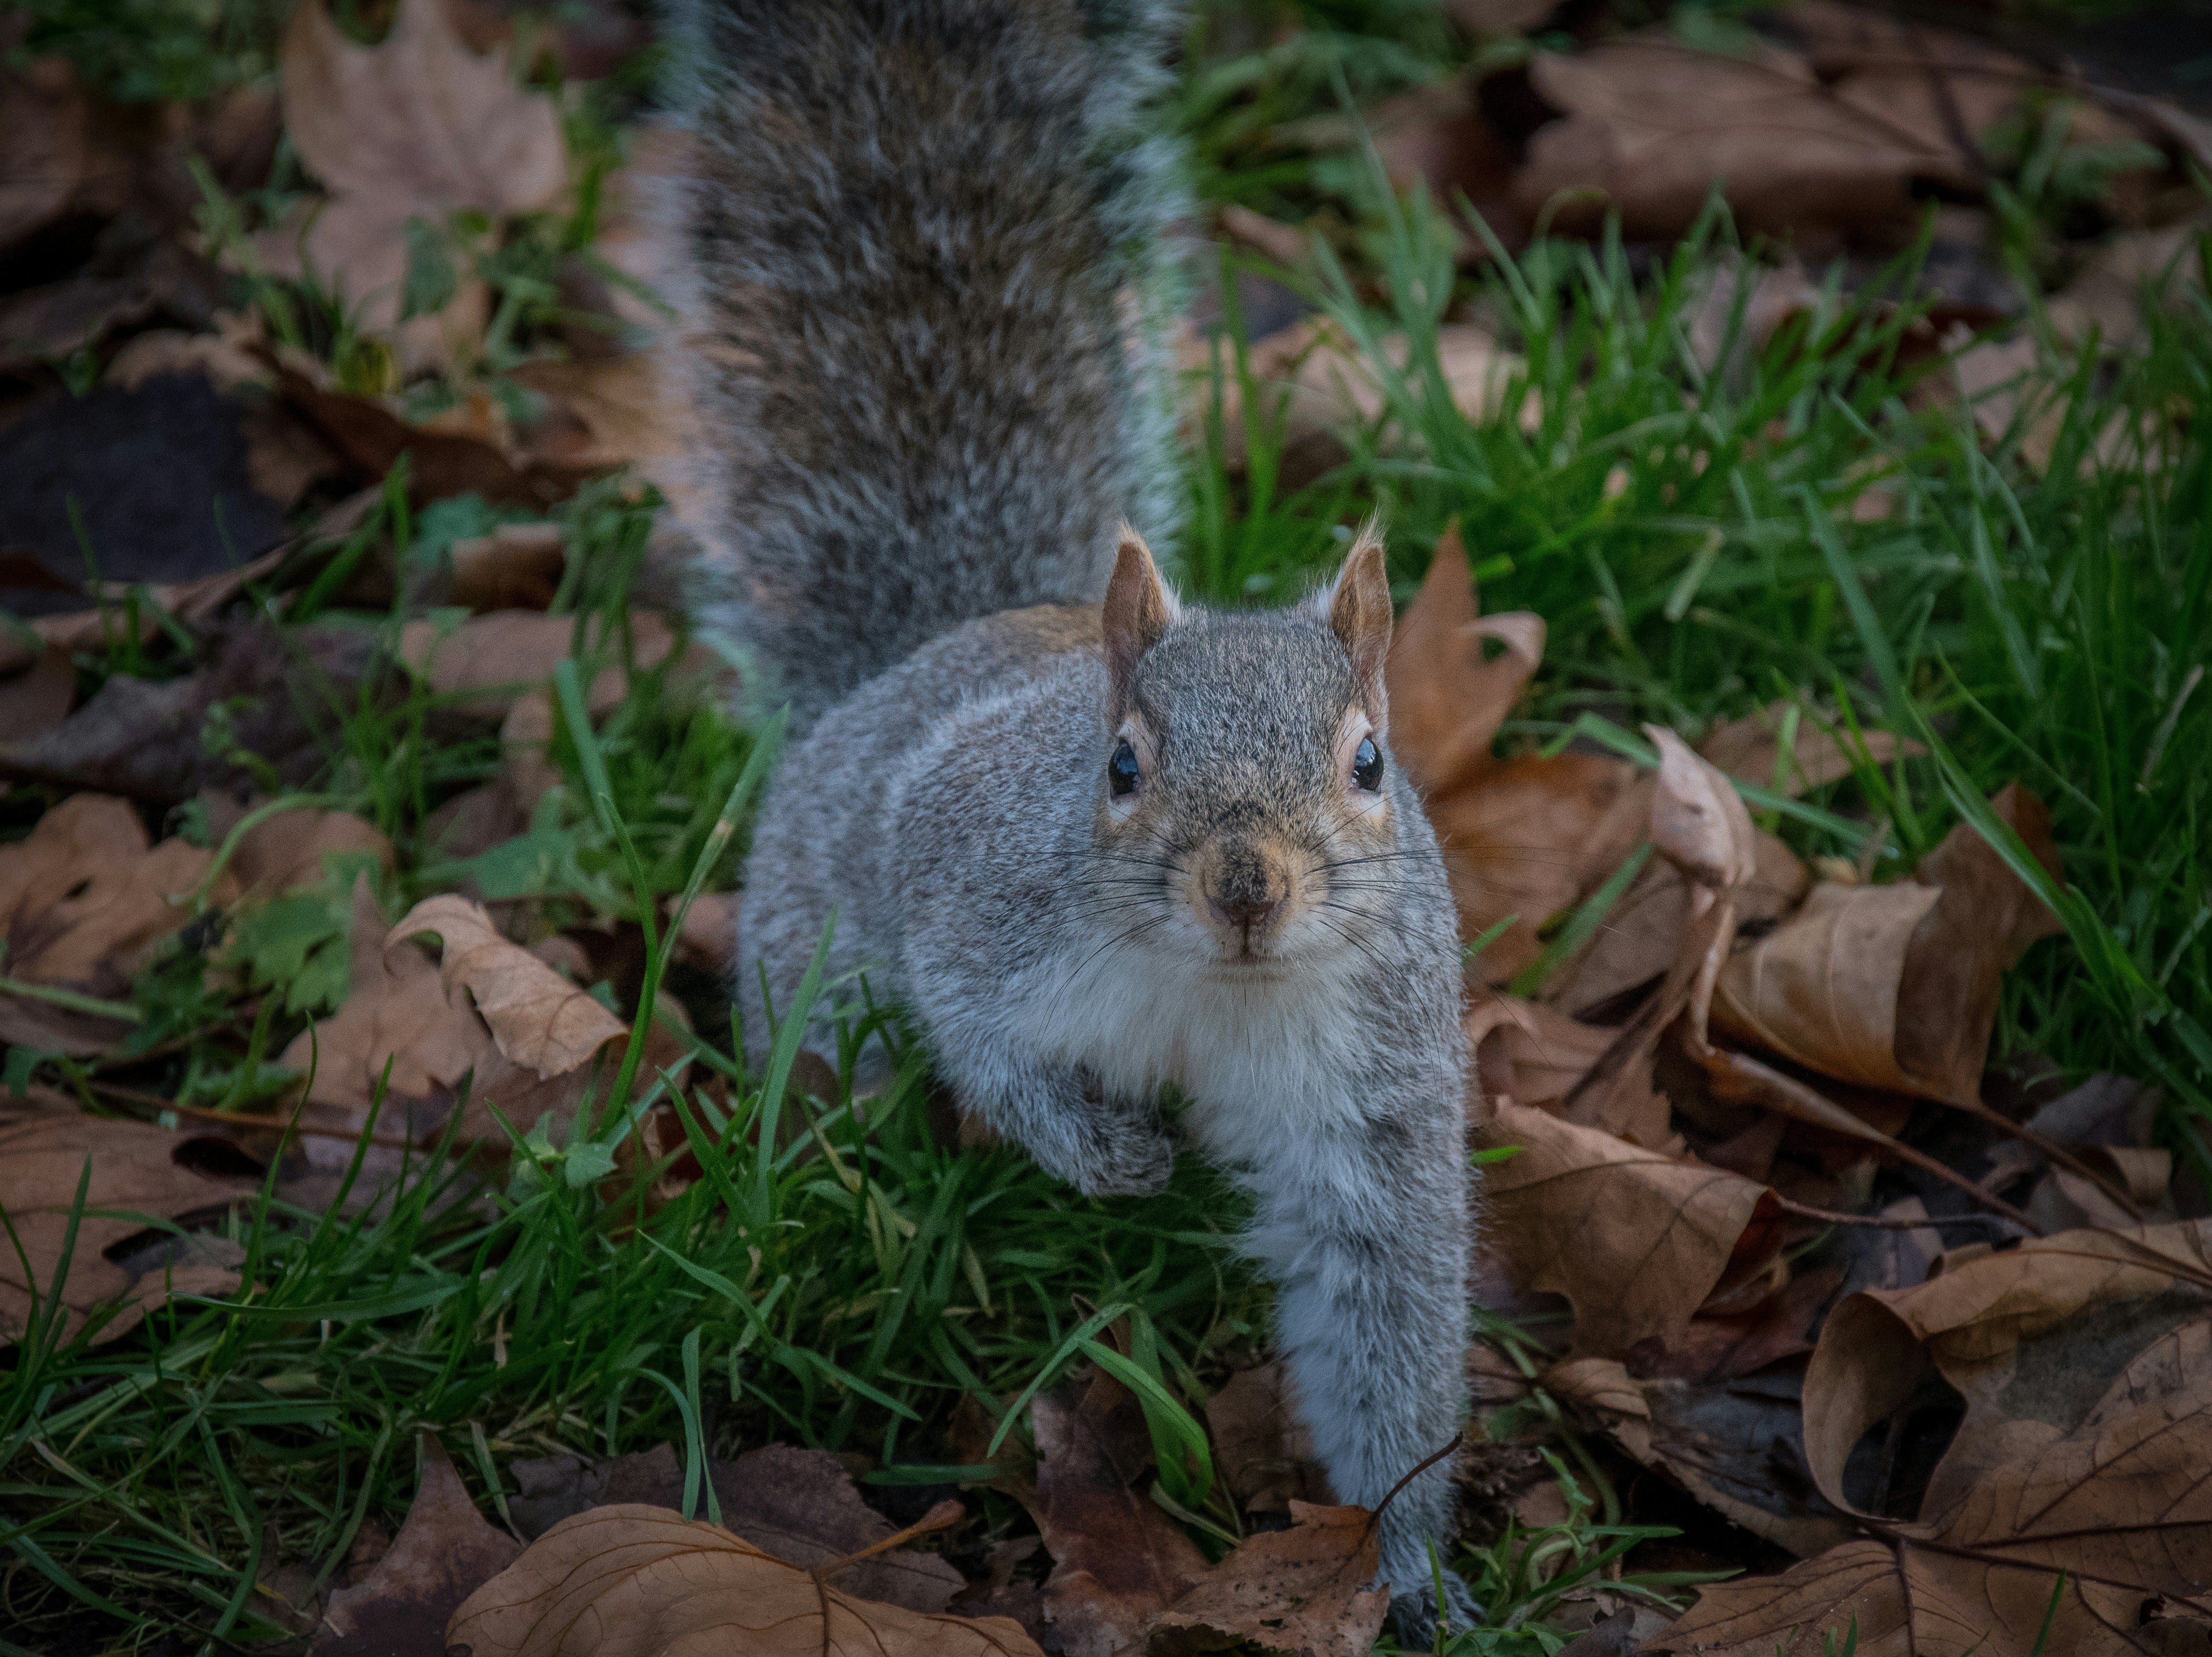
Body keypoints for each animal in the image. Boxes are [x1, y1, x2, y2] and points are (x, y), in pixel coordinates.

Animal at [670, 0, 1478, 1636]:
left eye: (1371, 761)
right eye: (1118, 765)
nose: (1246, 884)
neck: (1209, 992)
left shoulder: (1372, 1082)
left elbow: (1387, 1297)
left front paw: (1411, 1564)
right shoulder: (982, 917)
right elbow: (984, 1040)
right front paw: (1107, 1158)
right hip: (815, 961)